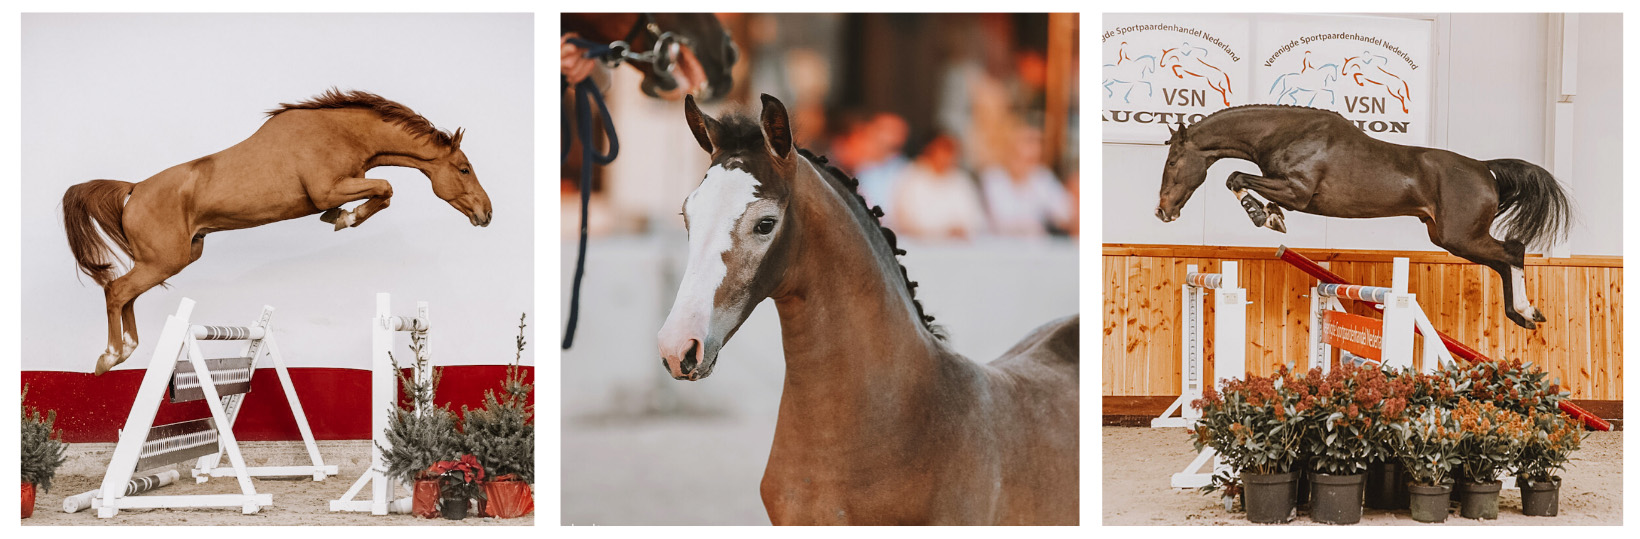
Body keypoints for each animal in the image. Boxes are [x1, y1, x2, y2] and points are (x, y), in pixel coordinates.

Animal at [62, 89, 491, 375]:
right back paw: (109, 357)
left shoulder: (341, 186)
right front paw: (344, 219)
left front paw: (338, 218)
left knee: (126, 296)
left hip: (172, 259)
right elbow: (385, 189)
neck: (341, 132)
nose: (486, 213)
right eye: (464, 168)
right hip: (163, 261)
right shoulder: (328, 188)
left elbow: (379, 193)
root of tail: (134, 189)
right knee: (116, 291)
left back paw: (126, 350)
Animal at [1153, 104, 1571, 330]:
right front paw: (1270, 215)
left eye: (1173, 161)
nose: (1162, 211)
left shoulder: (1297, 191)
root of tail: (1485, 169)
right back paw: (1523, 315)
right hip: (1450, 238)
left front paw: (1266, 217)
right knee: (1503, 261)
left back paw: (1525, 311)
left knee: (1513, 251)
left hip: (1461, 236)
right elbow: (1237, 180)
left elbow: (1236, 177)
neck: (1285, 134)